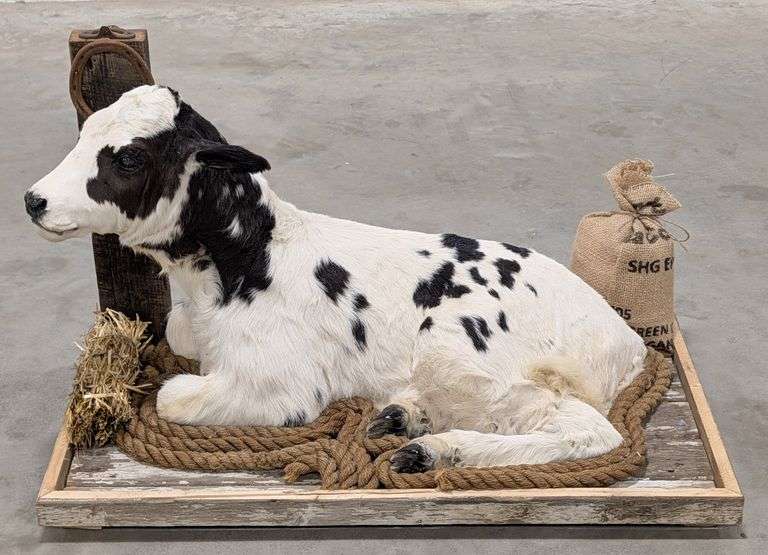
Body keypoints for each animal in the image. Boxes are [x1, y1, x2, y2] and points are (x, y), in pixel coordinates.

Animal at [24, 85, 648, 473]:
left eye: (128, 158)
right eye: (84, 132)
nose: (34, 200)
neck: (244, 265)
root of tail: (626, 340)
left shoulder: (279, 388)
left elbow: (172, 395)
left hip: (469, 355)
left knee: (587, 432)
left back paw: (434, 450)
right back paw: (404, 417)